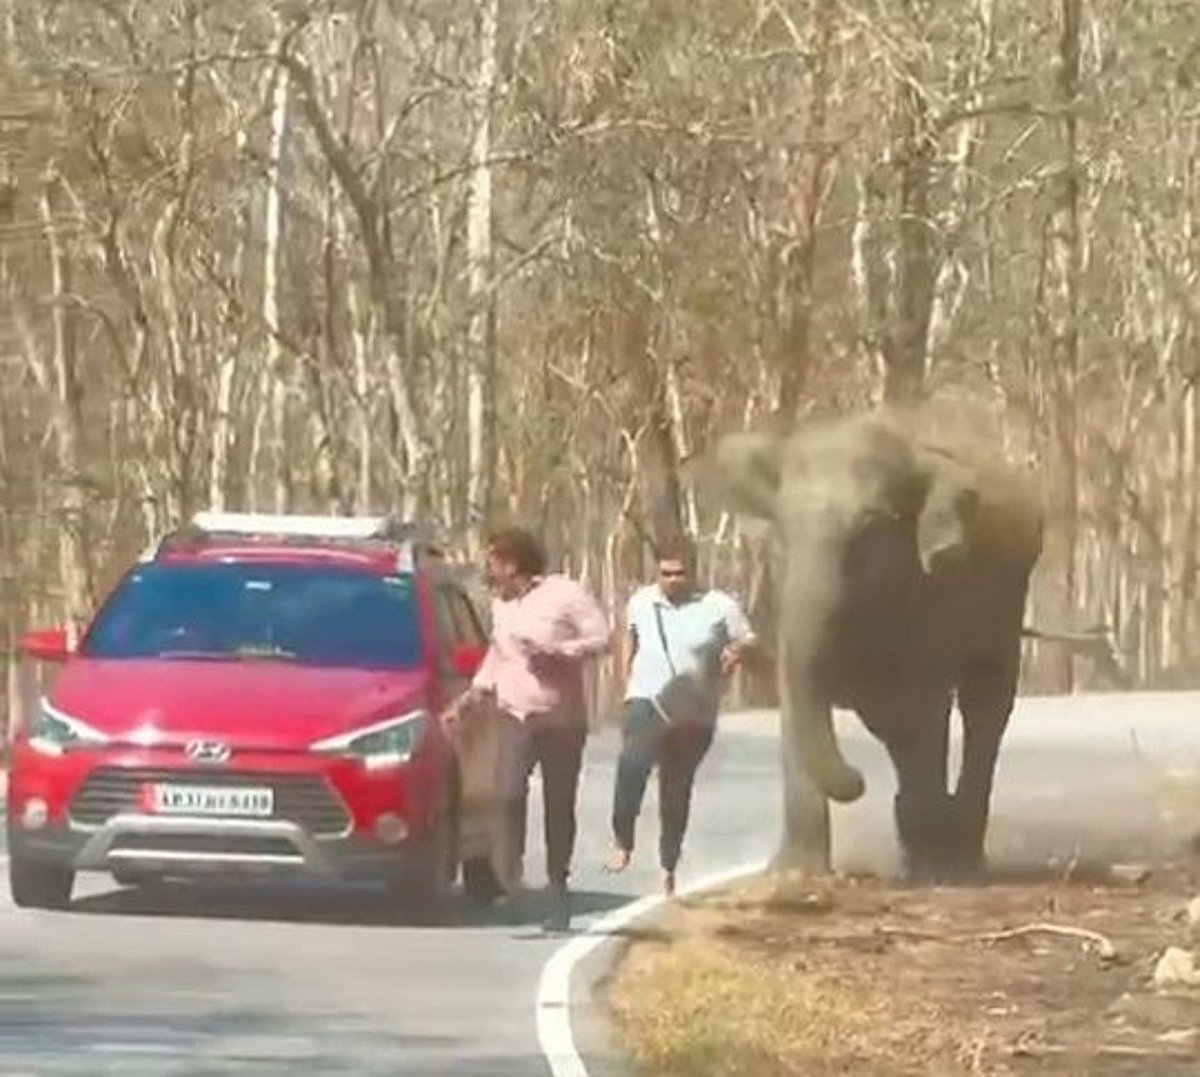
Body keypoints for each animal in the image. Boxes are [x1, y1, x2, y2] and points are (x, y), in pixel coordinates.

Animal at [705, 408, 1044, 882]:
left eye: (869, 527)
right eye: (781, 533)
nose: (859, 779)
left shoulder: (936, 592)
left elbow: (923, 705)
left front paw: (933, 870)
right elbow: (798, 695)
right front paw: (794, 873)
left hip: (1005, 601)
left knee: (983, 706)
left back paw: (955, 853)